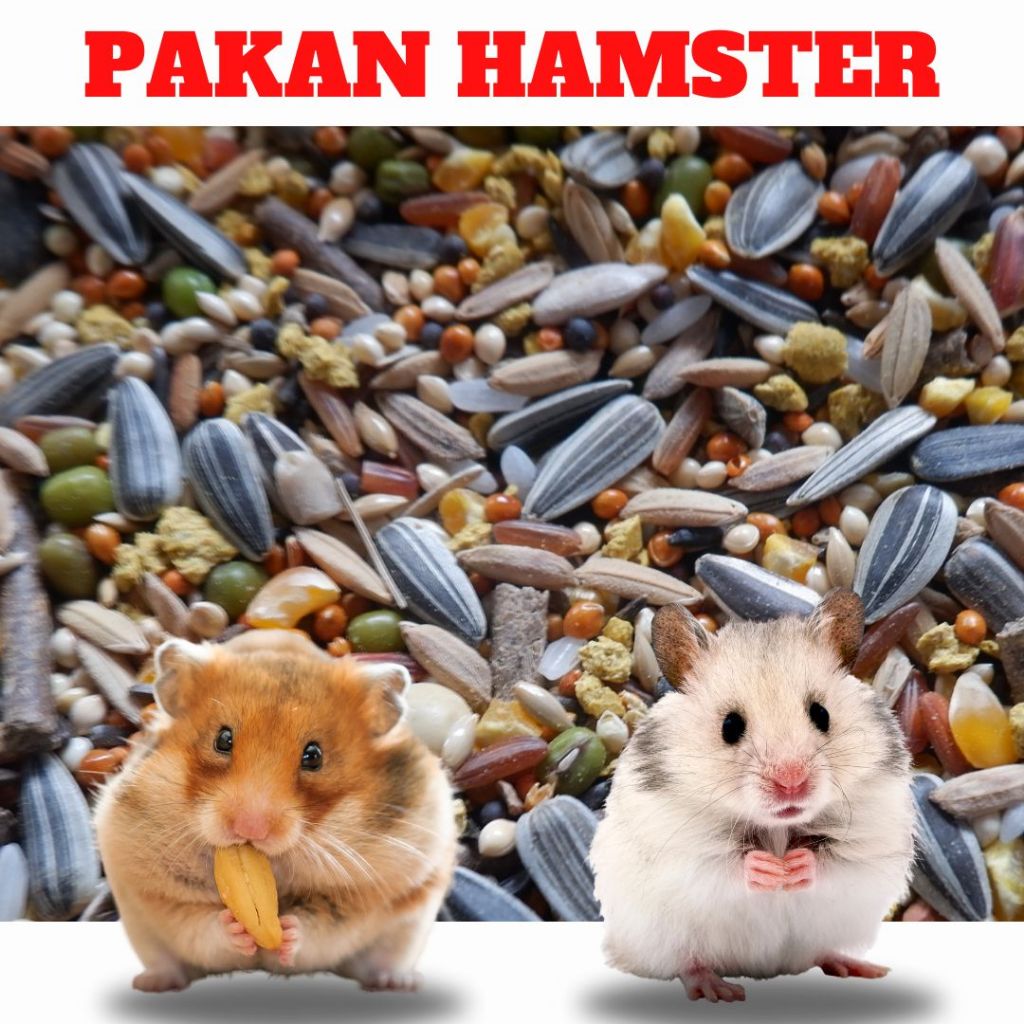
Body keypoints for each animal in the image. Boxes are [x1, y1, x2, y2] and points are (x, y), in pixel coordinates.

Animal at [94, 629, 456, 994]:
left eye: (314, 756)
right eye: (222, 740)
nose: (249, 829)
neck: (275, 866)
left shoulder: (371, 891)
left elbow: (324, 925)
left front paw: (287, 932)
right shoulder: (151, 886)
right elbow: (198, 924)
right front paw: (235, 928)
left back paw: (396, 983)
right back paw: (152, 983)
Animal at [590, 588, 916, 1003]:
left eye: (821, 714)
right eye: (730, 726)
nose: (791, 782)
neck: (777, 827)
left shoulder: (873, 844)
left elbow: (836, 863)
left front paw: (795, 866)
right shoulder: (677, 851)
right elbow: (720, 866)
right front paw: (768, 869)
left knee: (820, 952)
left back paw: (861, 968)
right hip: (658, 936)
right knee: (687, 963)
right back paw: (719, 989)